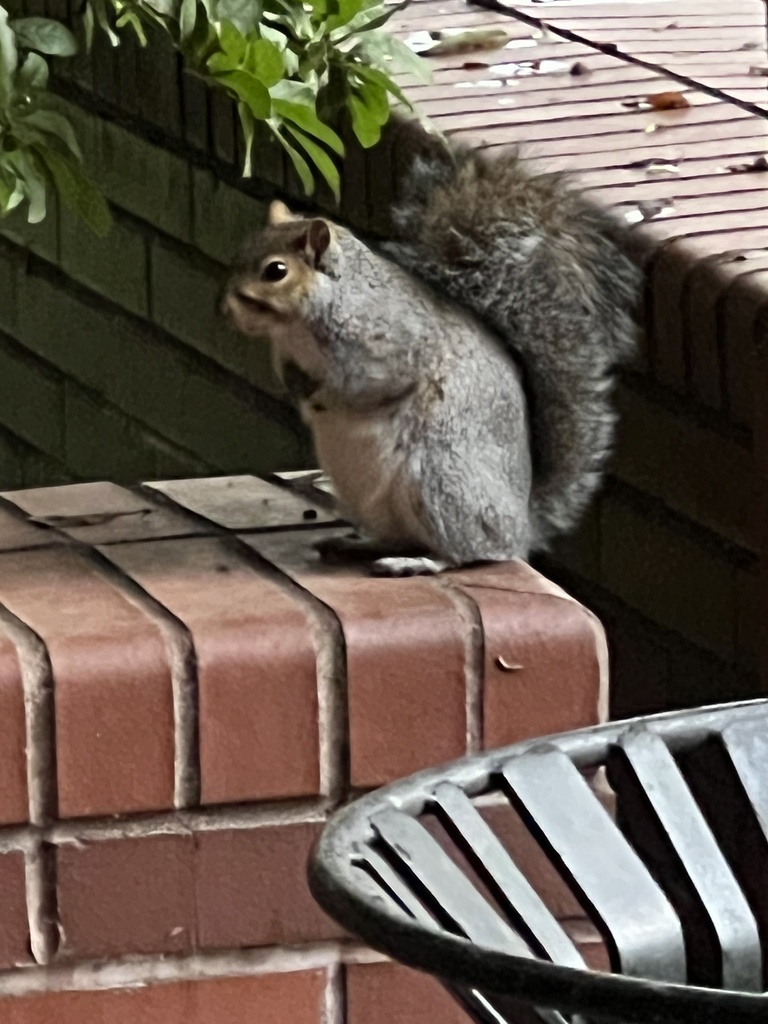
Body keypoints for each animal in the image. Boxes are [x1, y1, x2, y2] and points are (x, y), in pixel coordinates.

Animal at [220, 135, 642, 576]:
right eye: (243, 250)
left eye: (276, 271)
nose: (226, 310)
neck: (297, 326)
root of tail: (521, 529)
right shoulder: (286, 351)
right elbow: (291, 373)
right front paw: (296, 389)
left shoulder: (391, 346)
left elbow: (367, 385)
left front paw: (320, 398)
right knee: (400, 535)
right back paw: (359, 545)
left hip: (440, 481)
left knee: (465, 552)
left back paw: (420, 561)